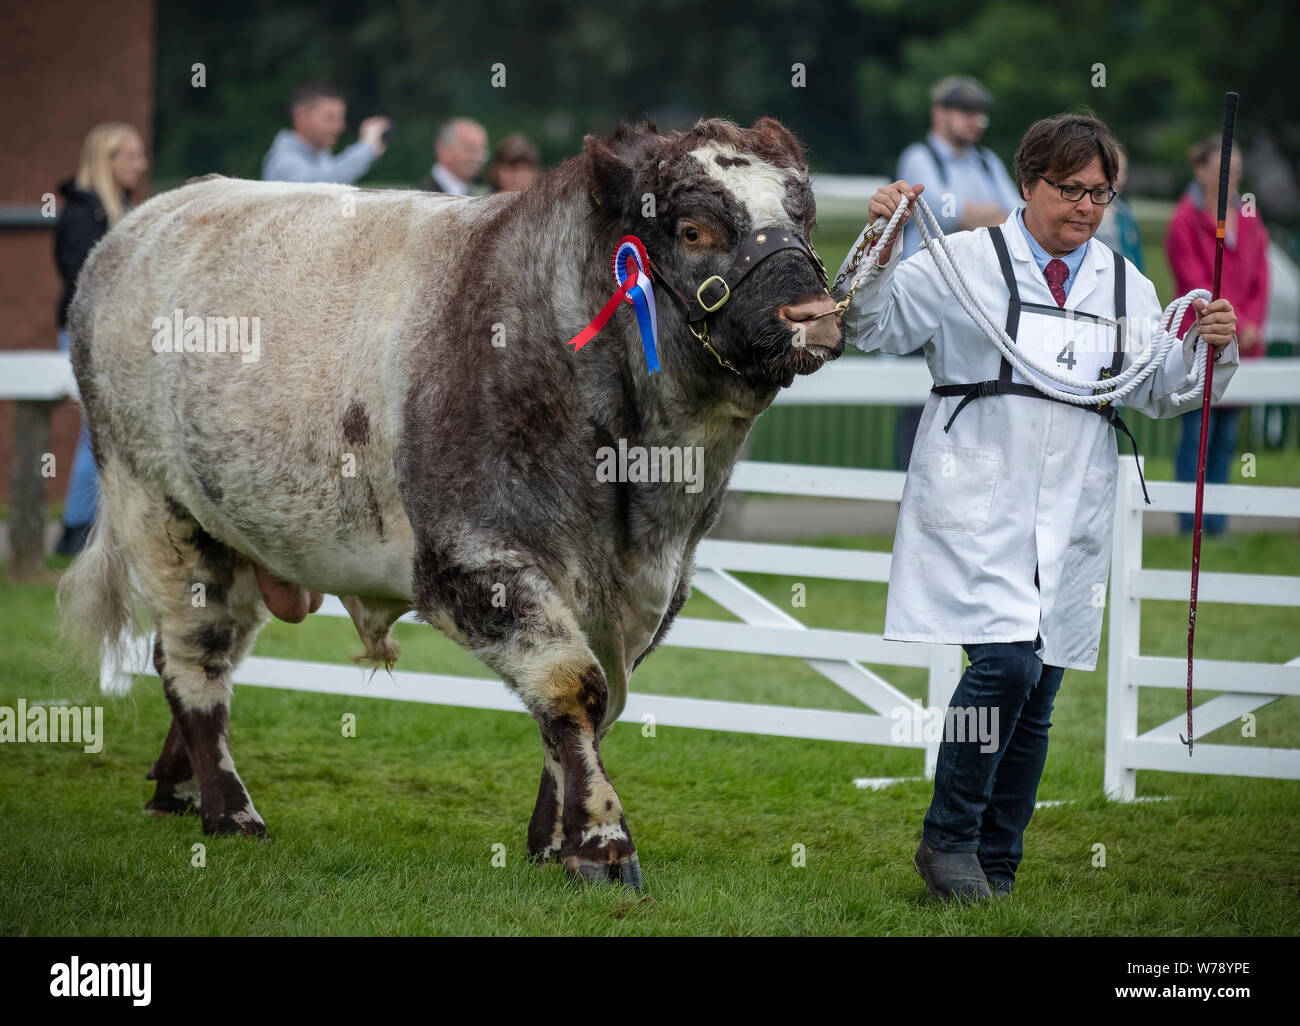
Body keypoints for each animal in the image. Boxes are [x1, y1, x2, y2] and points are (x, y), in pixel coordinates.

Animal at [58, 116, 844, 889]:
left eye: (802, 217)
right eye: (692, 229)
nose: (813, 313)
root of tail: (140, 224)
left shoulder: (656, 587)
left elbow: (586, 710)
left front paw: (551, 841)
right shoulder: (474, 563)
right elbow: (574, 689)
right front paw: (601, 843)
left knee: (183, 651)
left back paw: (176, 788)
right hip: (158, 508)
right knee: (198, 659)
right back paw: (230, 811)